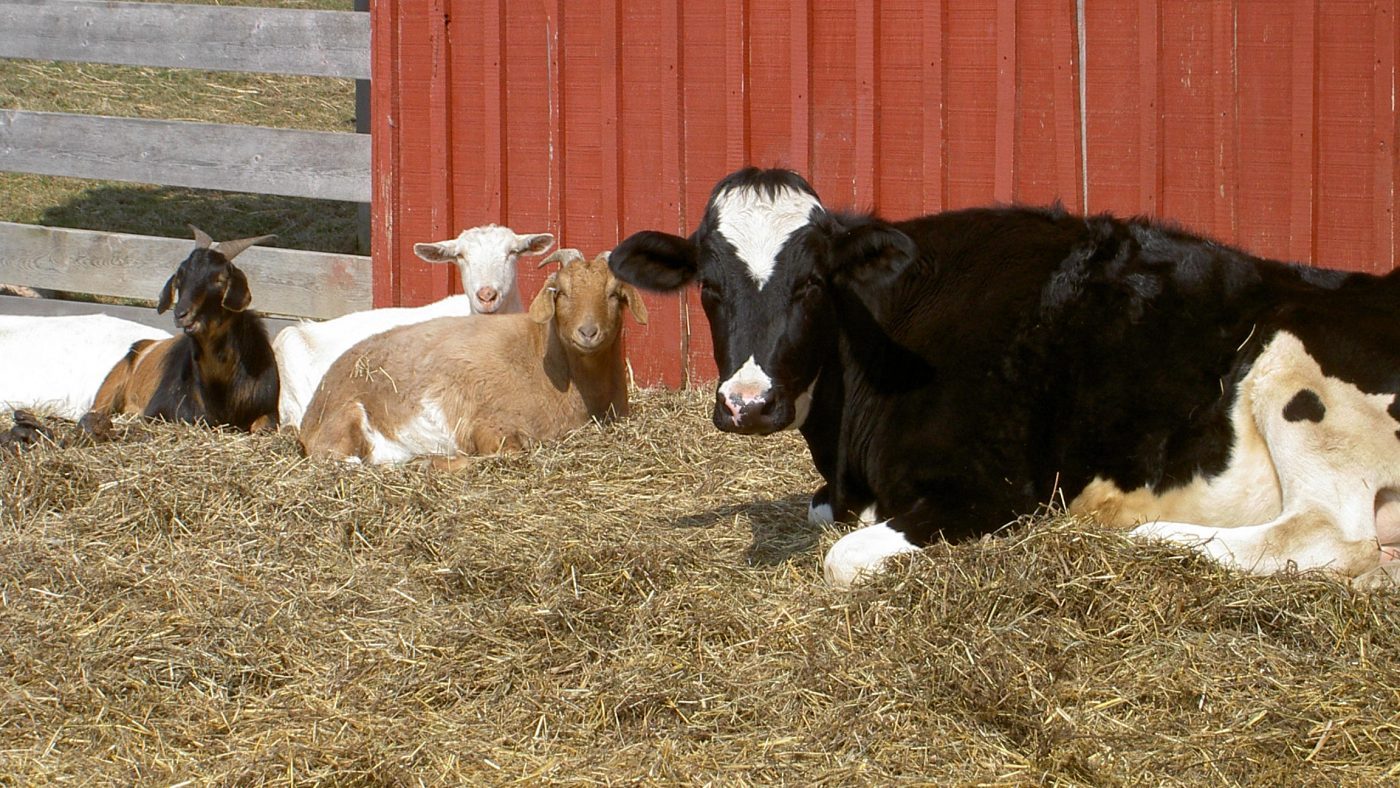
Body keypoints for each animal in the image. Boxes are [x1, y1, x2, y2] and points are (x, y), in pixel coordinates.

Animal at [609, 167, 1400, 589]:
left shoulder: (991, 490)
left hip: (1293, 371)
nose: (746, 403)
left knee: (1330, 532)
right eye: (710, 288)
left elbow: (844, 557)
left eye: (810, 284)